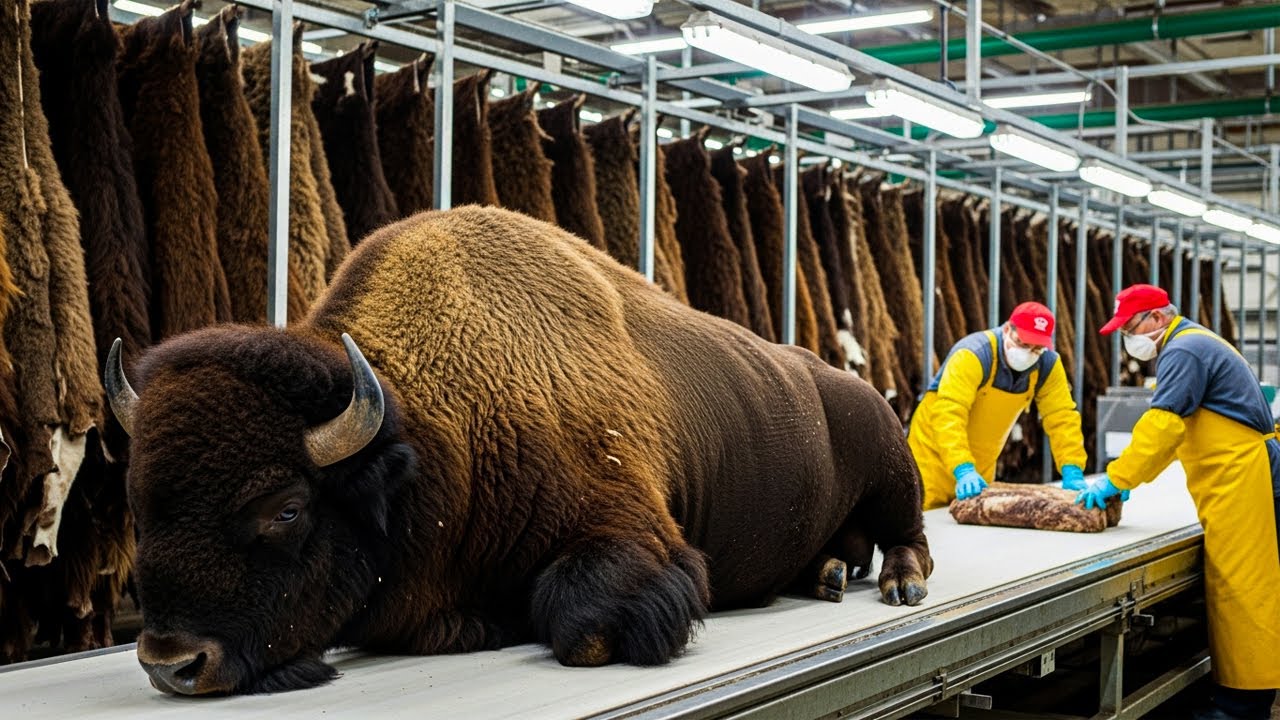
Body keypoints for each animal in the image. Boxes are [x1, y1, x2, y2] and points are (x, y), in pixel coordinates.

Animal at [107, 206, 933, 695]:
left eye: (285, 508)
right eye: (138, 508)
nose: (172, 663)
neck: (432, 424)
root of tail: (842, 379)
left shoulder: (633, 533)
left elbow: (584, 627)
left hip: (893, 468)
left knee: (908, 534)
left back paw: (899, 585)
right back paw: (827, 574)